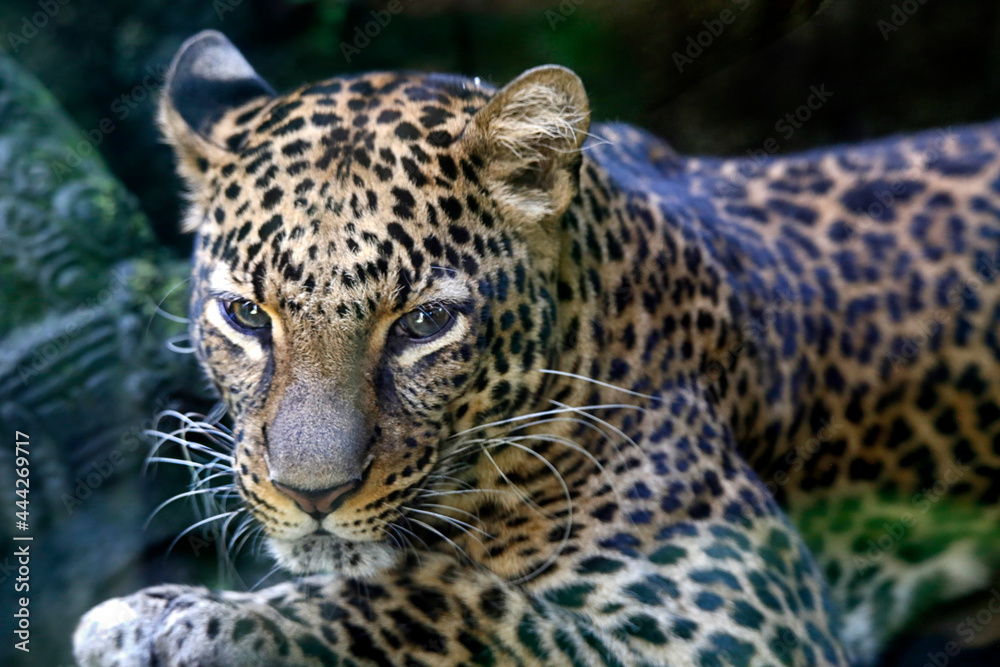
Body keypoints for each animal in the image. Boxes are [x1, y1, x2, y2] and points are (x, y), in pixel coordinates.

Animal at [73, 29, 1000, 666]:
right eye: (245, 314)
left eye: (421, 324)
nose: (313, 494)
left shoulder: (747, 627)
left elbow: (448, 598)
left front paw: (178, 619)